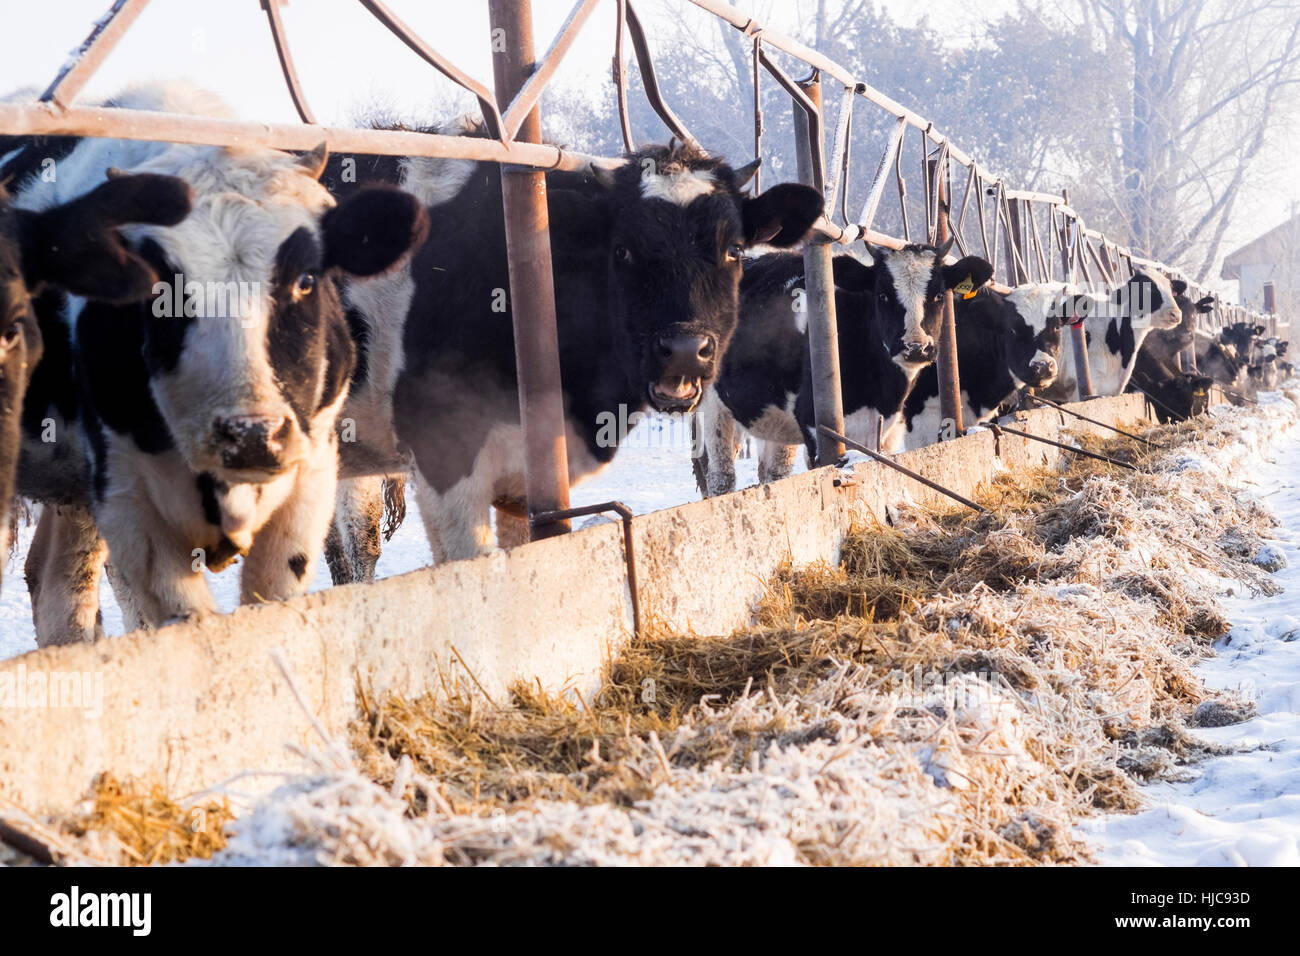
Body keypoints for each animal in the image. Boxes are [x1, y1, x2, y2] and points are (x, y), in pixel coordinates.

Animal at [691, 240, 993, 496]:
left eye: (939, 296)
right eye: (882, 296)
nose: (916, 347)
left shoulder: (885, 429)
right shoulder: (814, 423)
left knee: (772, 472)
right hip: (712, 406)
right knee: (720, 477)